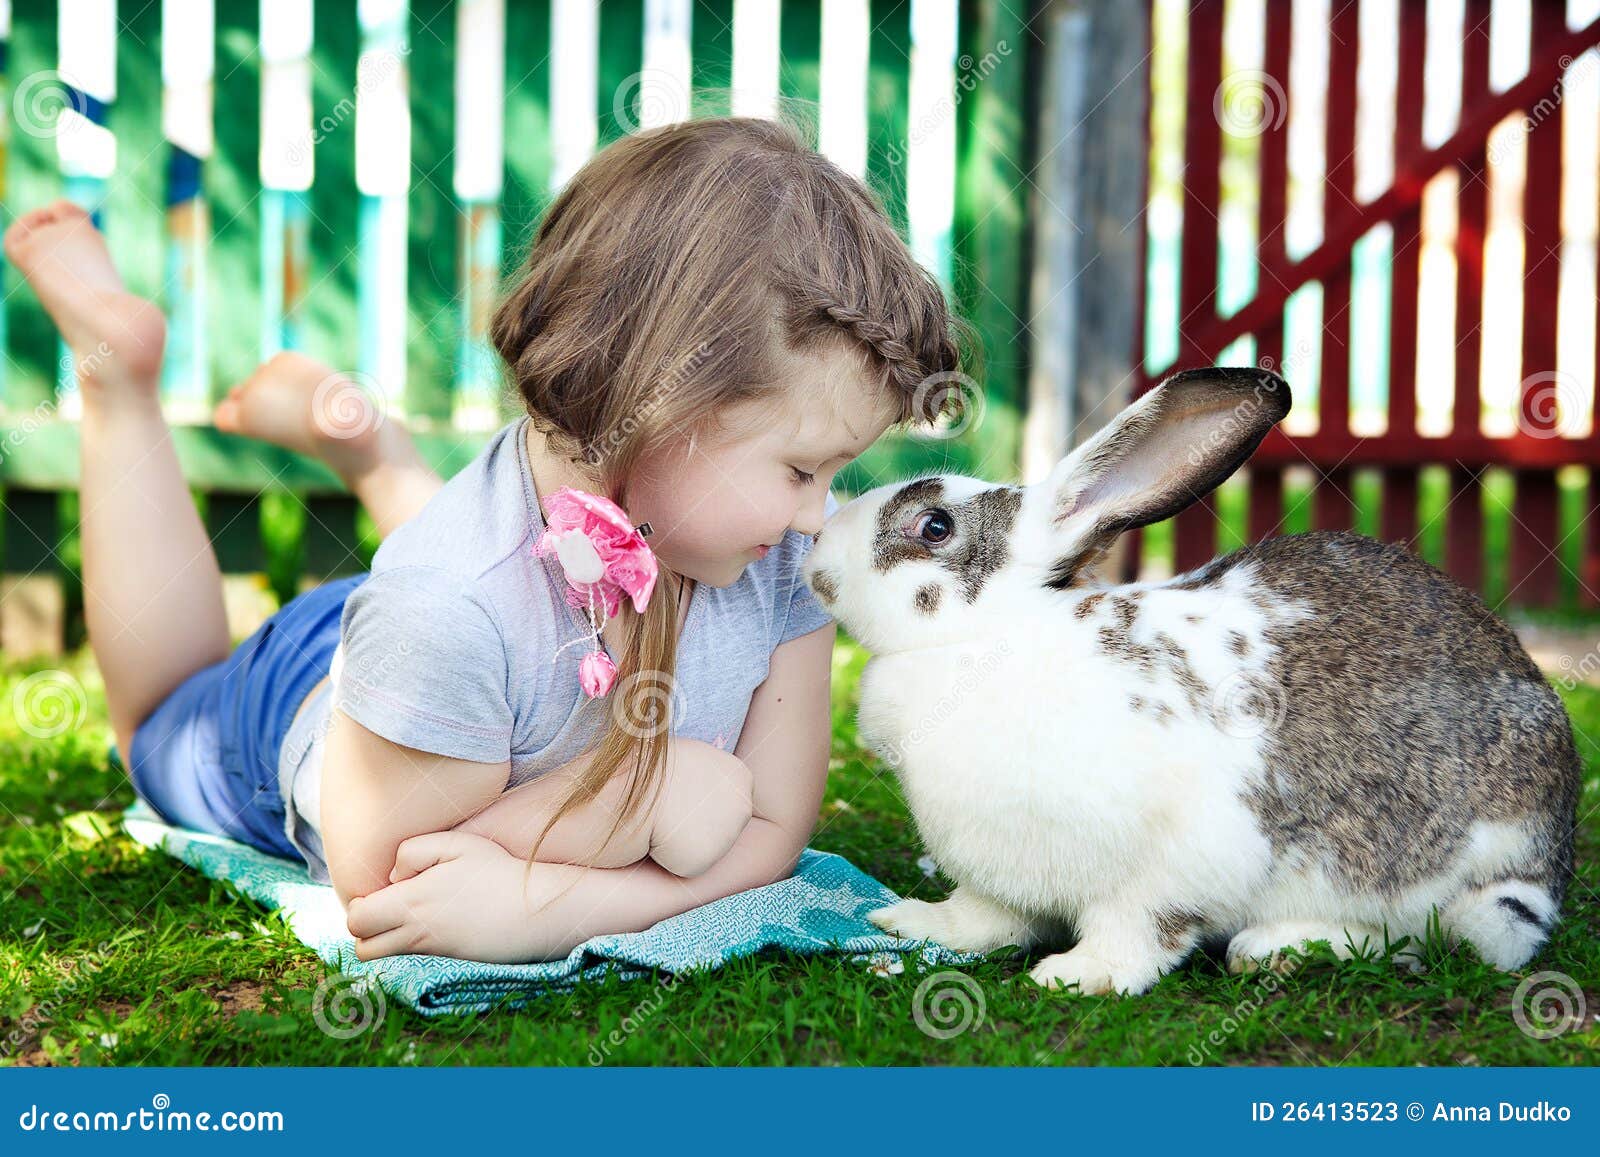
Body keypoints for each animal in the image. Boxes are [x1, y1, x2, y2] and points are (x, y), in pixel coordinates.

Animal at [802, 366, 1581, 995]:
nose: (816, 556)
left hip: (1469, 888)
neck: (986, 639)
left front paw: (1075, 975)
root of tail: (1557, 845)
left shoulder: (1173, 865)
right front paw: (908, 920)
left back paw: (1279, 947)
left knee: (1427, 937)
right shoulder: (999, 879)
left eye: (933, 526)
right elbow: (981, 917)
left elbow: (1138, 932)